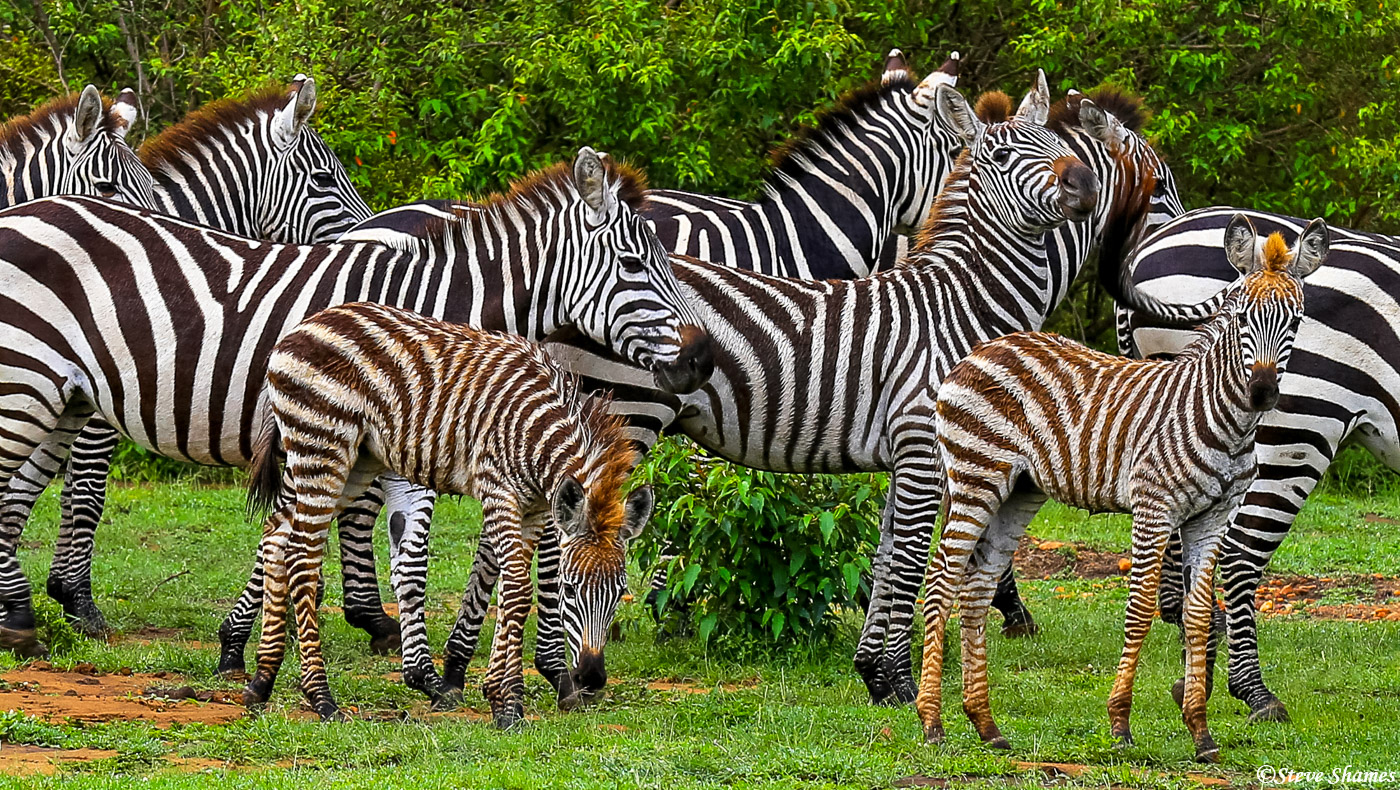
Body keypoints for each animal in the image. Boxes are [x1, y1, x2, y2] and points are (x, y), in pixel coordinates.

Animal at [245, 302, 650, 726]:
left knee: (276, 538)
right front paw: (508, 704)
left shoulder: (537, 509)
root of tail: (306, 325)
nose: (591, 676)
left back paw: (261, 682)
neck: (536, 433)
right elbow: (519, 591)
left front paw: (500, 694)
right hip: (323, 449)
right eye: (570, 590)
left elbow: (509, 592)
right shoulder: (497, 489)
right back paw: (321, 699)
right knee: (302, 557)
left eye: (620, 591)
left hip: (355, 462)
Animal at [917, 214, 1328, 763]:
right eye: (1241, 316)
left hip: (1019, 490)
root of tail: (985, 347)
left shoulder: (1213, 517)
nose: (1262, 393)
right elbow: (1139, 611)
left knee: (977, 587)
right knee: (942, 581)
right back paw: (932, 723)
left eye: (1296, 321)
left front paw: (1201, 733)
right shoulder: (1154, 508)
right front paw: (1120, 723)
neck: (1227, 423)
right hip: (975, 476)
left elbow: (1198, 614)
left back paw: (986, 725)